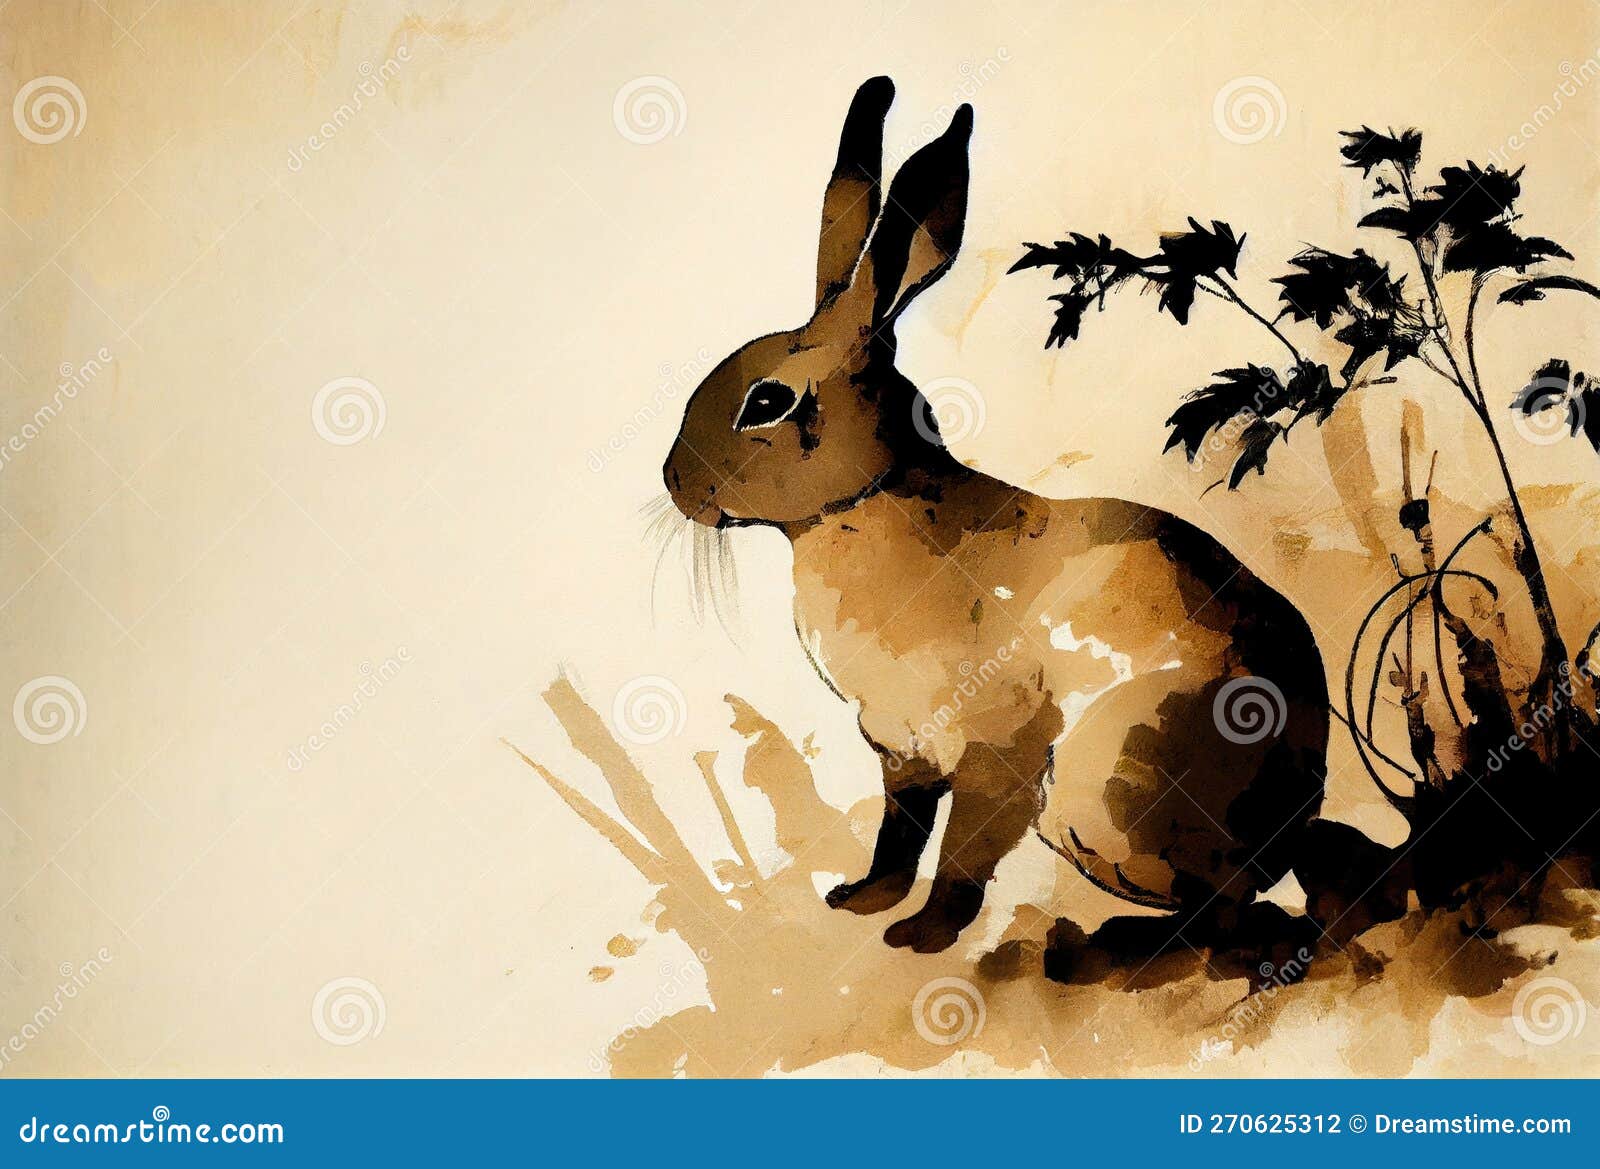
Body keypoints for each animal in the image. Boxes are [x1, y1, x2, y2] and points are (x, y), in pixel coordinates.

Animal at [663, 76, 1356, 958]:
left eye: (766, 402)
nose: (674, 481)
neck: (870, 505)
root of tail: (1292, 813)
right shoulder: (903, 752)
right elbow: (899, 835)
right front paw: (859, 900)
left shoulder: (998, 744)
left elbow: (966, 848)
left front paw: (920, 937)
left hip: (1114, 783)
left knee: (1227, 911)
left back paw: (1107, 945)